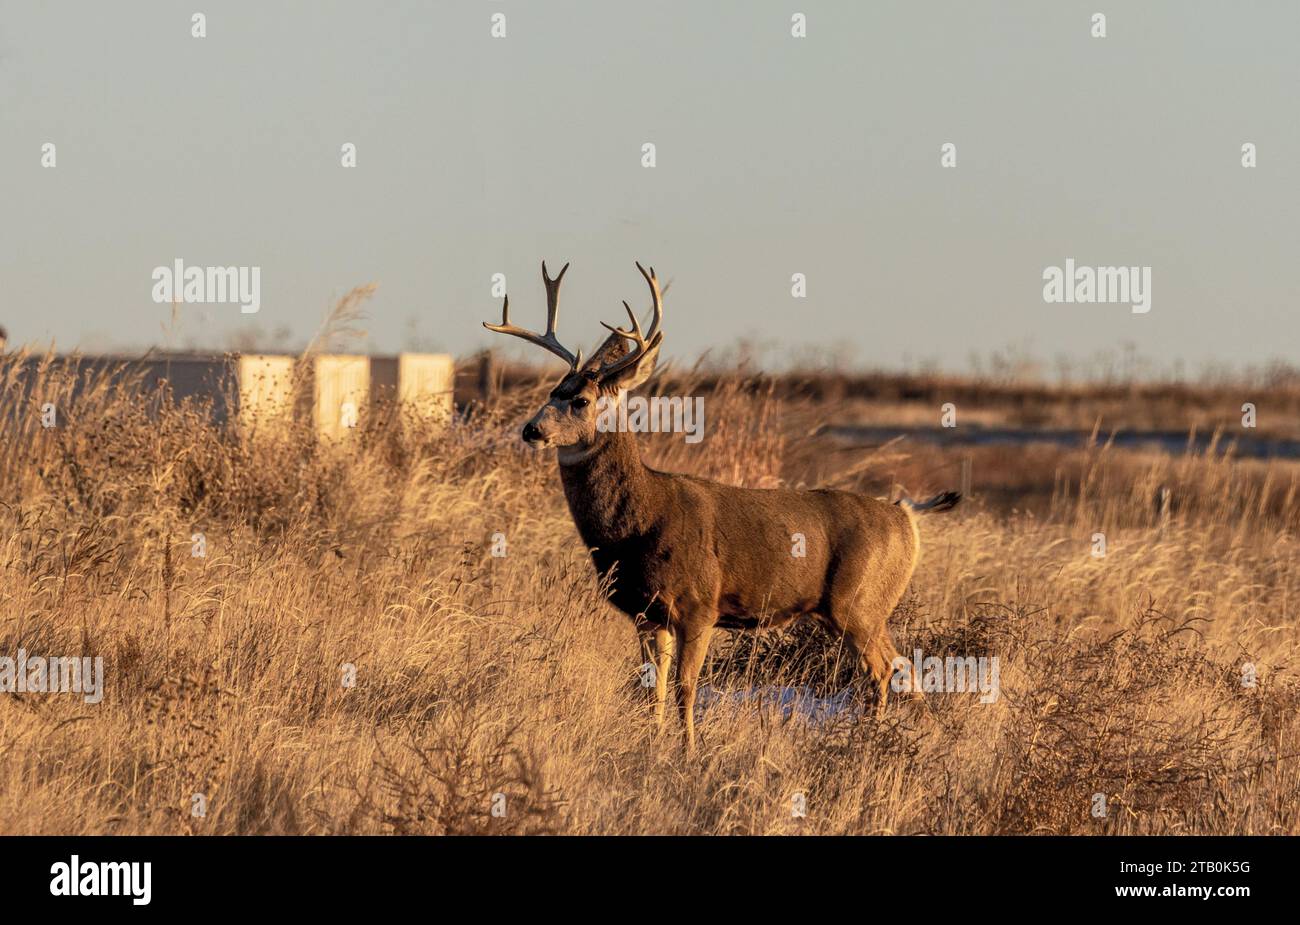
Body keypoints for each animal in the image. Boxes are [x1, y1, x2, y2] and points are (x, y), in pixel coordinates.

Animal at [484, 261, 961, 753]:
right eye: (553, 390)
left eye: (580, 400)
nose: (531, 430)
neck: (639, 523)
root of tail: (906, 513)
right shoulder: (646, 614)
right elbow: (652, 687)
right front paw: (654, 743)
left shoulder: (699, 603)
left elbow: (686, 687)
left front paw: (688, 751)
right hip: (855, 610)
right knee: (902, 666)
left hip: (860, 602)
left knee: (883, 669)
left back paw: (869, 740)